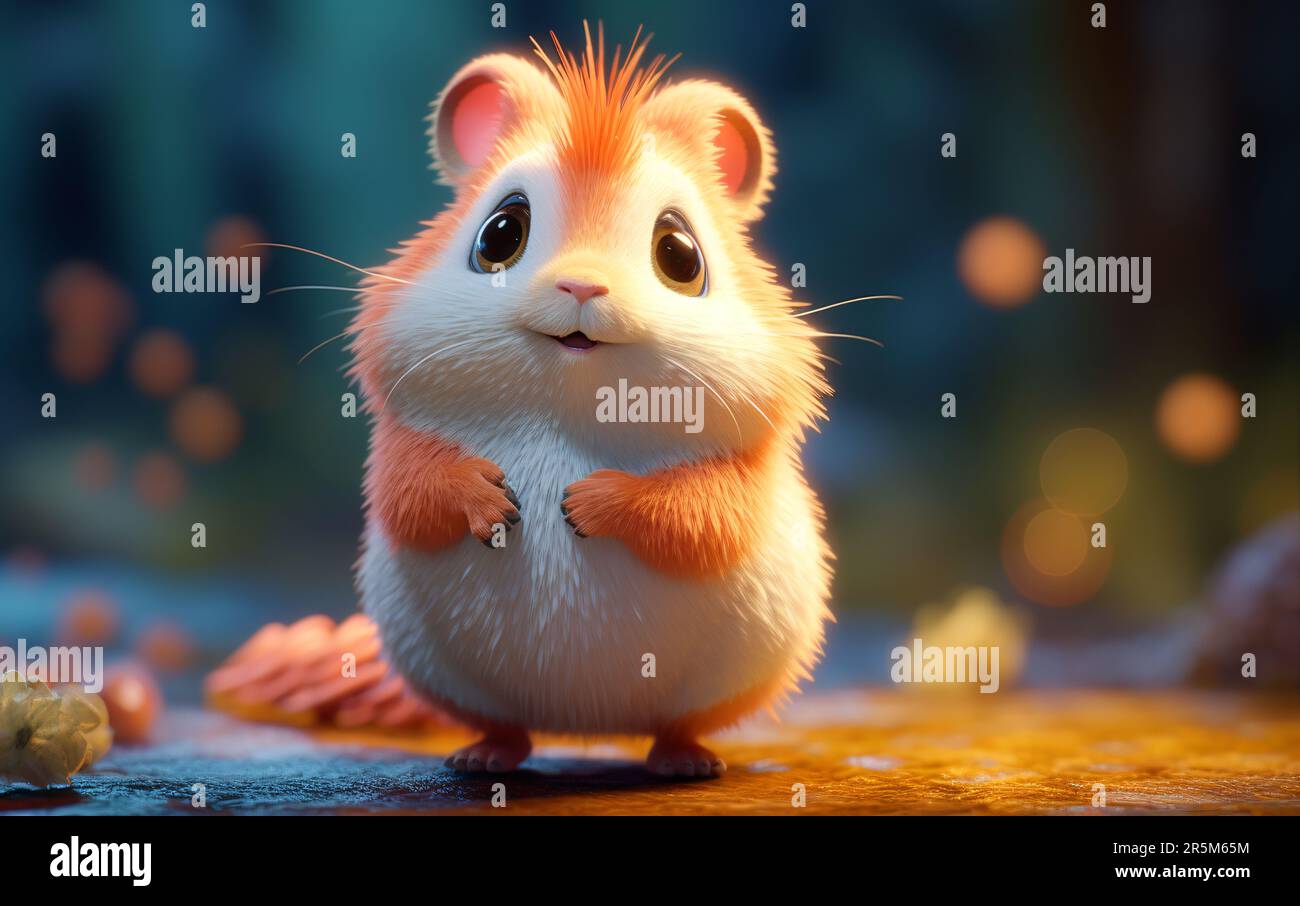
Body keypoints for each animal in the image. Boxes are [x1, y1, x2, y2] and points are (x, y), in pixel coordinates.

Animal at [350, 25, 832, 777]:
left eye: (681, 255)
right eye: (498, 234)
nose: (581, 285)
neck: (568, 407)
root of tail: (585, 725)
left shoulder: (747, 467)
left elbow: (705, 513)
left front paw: (589, 502)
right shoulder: (399, 438)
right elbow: (413, 490)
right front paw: (490, 500)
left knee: (680, 724)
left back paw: (684, 761)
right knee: (506, 727)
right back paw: (484, 755)